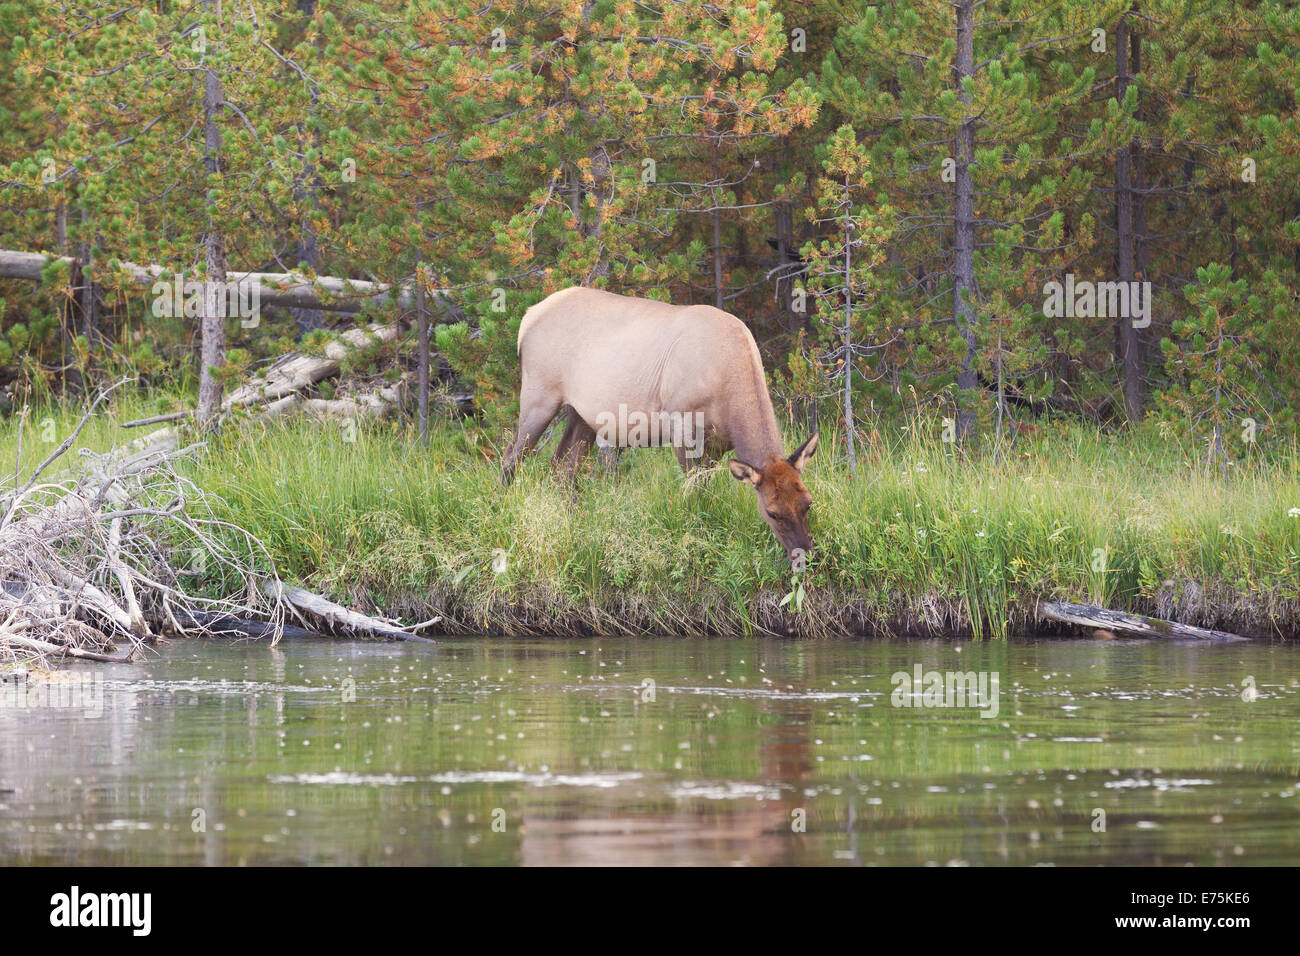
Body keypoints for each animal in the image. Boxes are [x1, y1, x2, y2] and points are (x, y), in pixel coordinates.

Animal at [501, 287, 818, 563]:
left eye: (808, 502)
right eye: (772, 512)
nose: (804, 554)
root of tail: (527, 318)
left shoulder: (718, 444)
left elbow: (706, 488)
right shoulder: (681, 425)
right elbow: (693, 491)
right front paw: (697, 533)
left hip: (581, 415)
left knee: (562, 466)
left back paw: (574, 521)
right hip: (539, 395)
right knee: (511, 456)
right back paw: (503, 510)